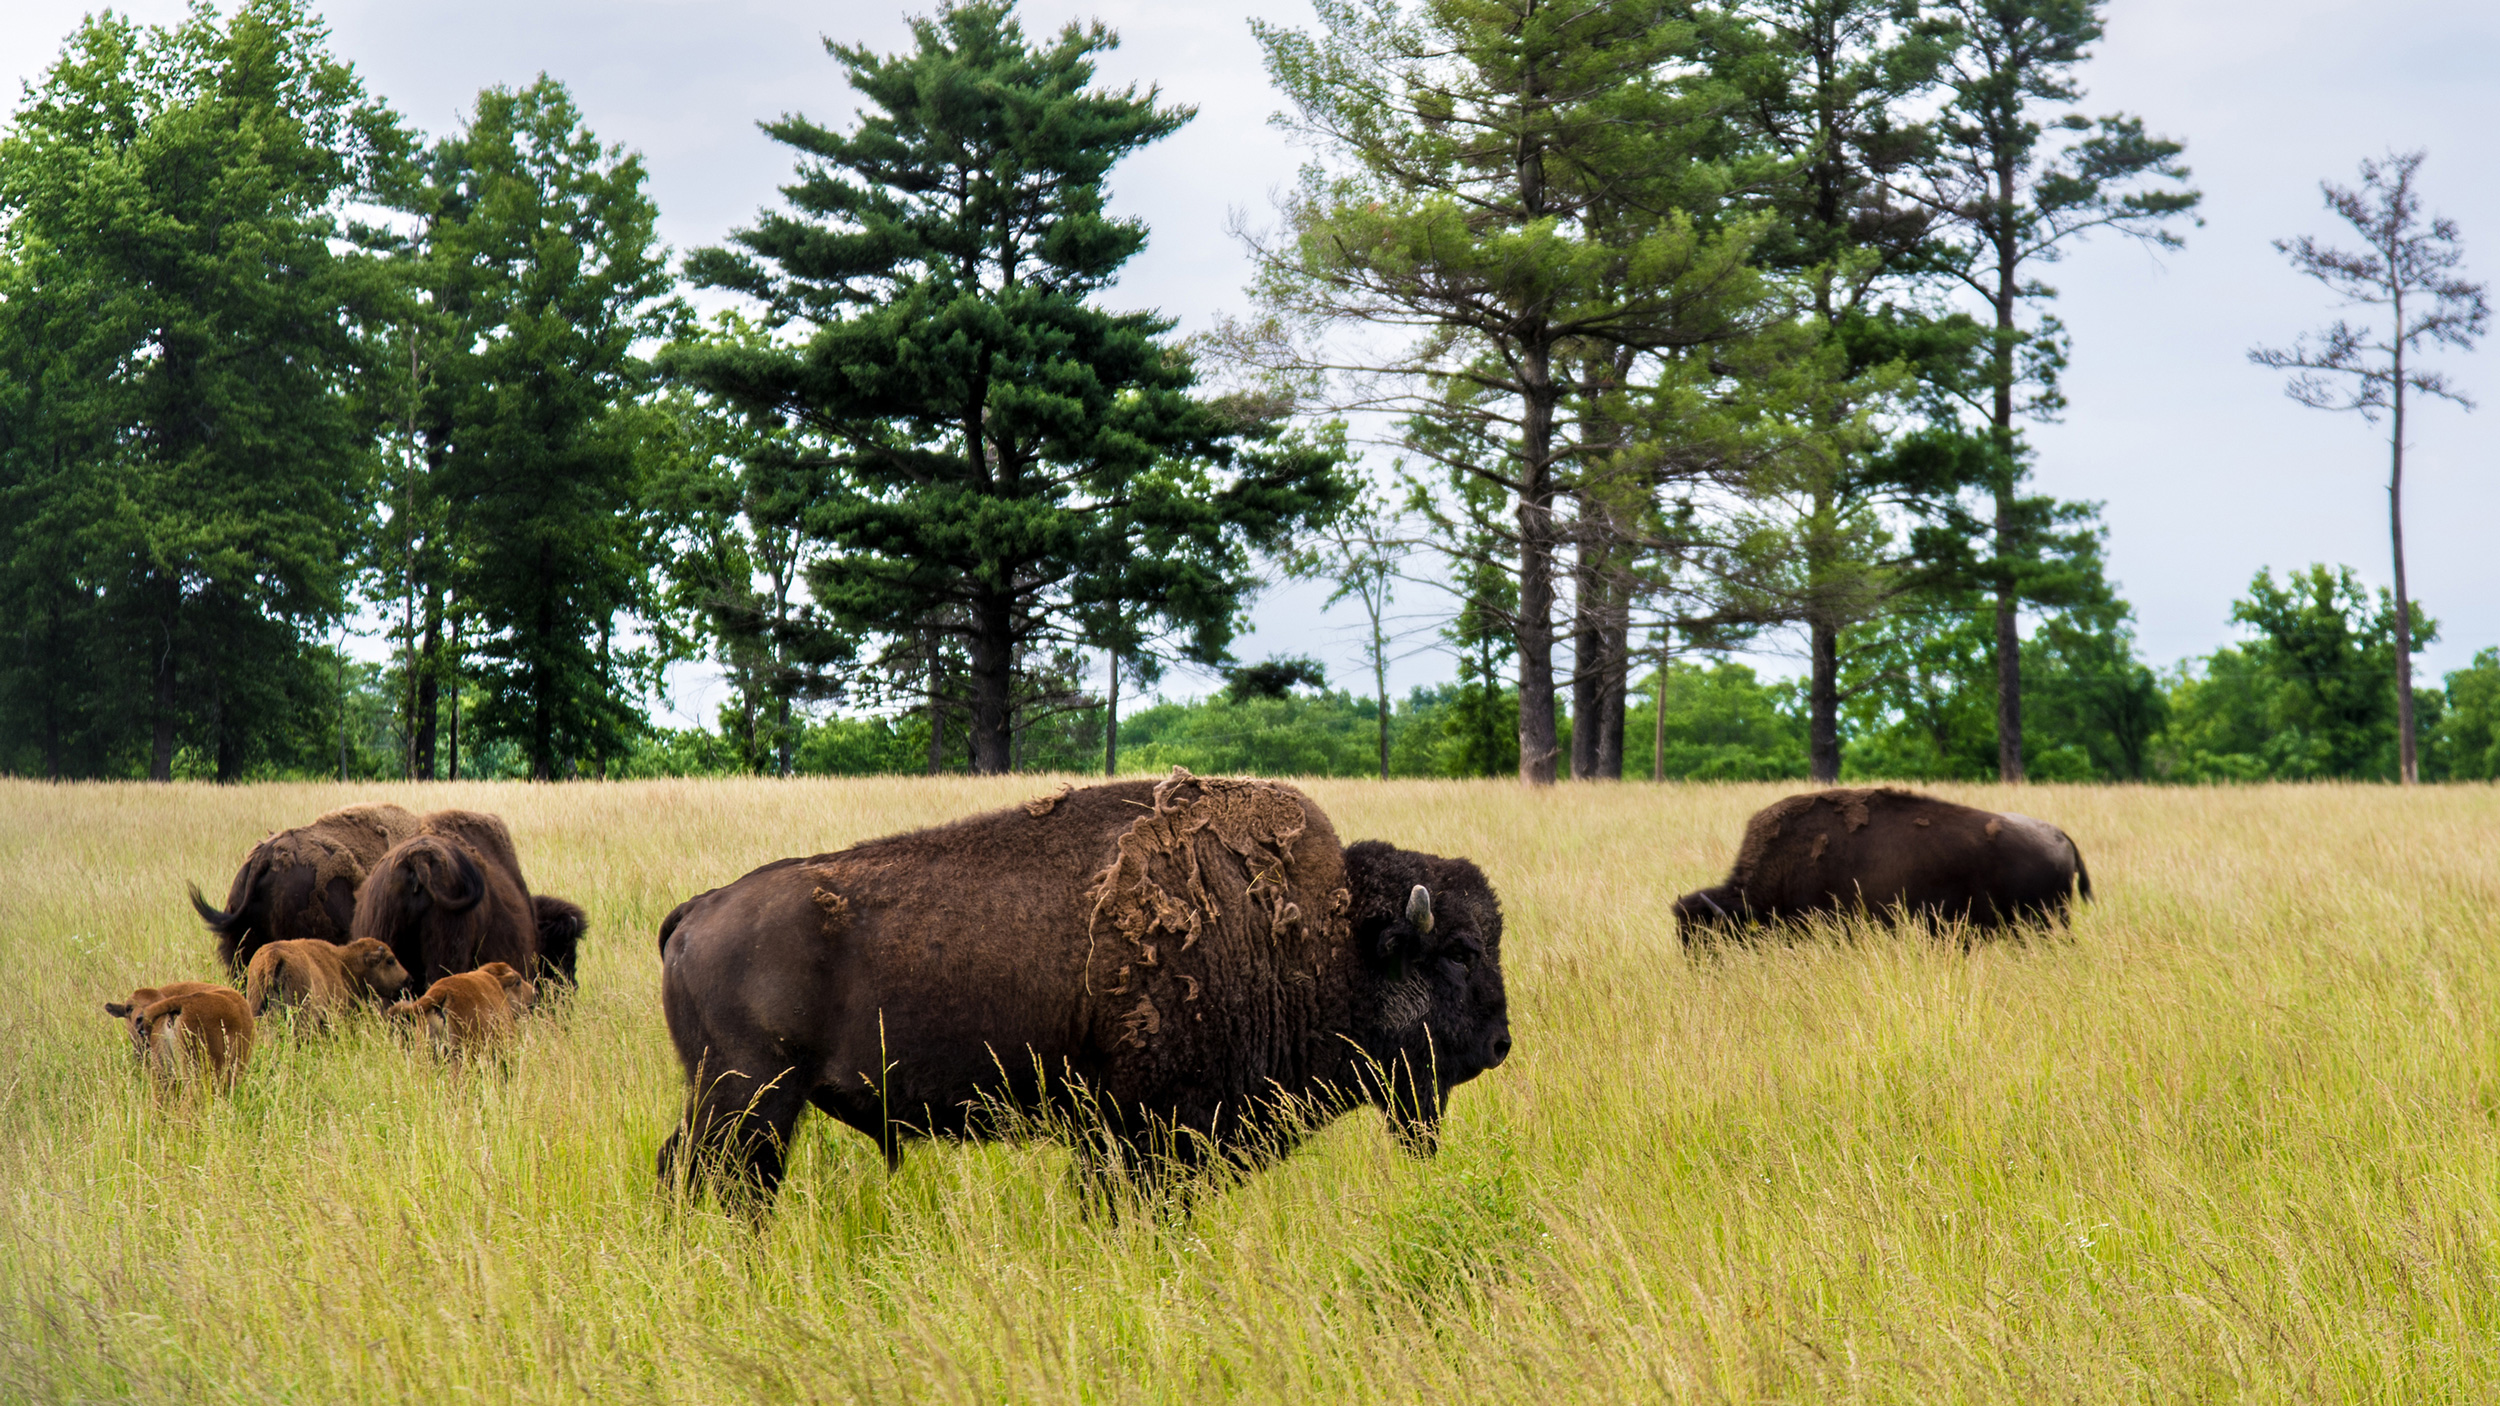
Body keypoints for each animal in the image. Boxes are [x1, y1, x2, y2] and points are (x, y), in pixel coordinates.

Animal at [655, 771, 1512, 1205]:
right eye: (1460, 953)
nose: (1500, 1043)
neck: (1326, 938)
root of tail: (698, 909)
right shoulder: (1150, 1129)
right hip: (751, 1096)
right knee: (714, 1178)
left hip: (740, 1100)